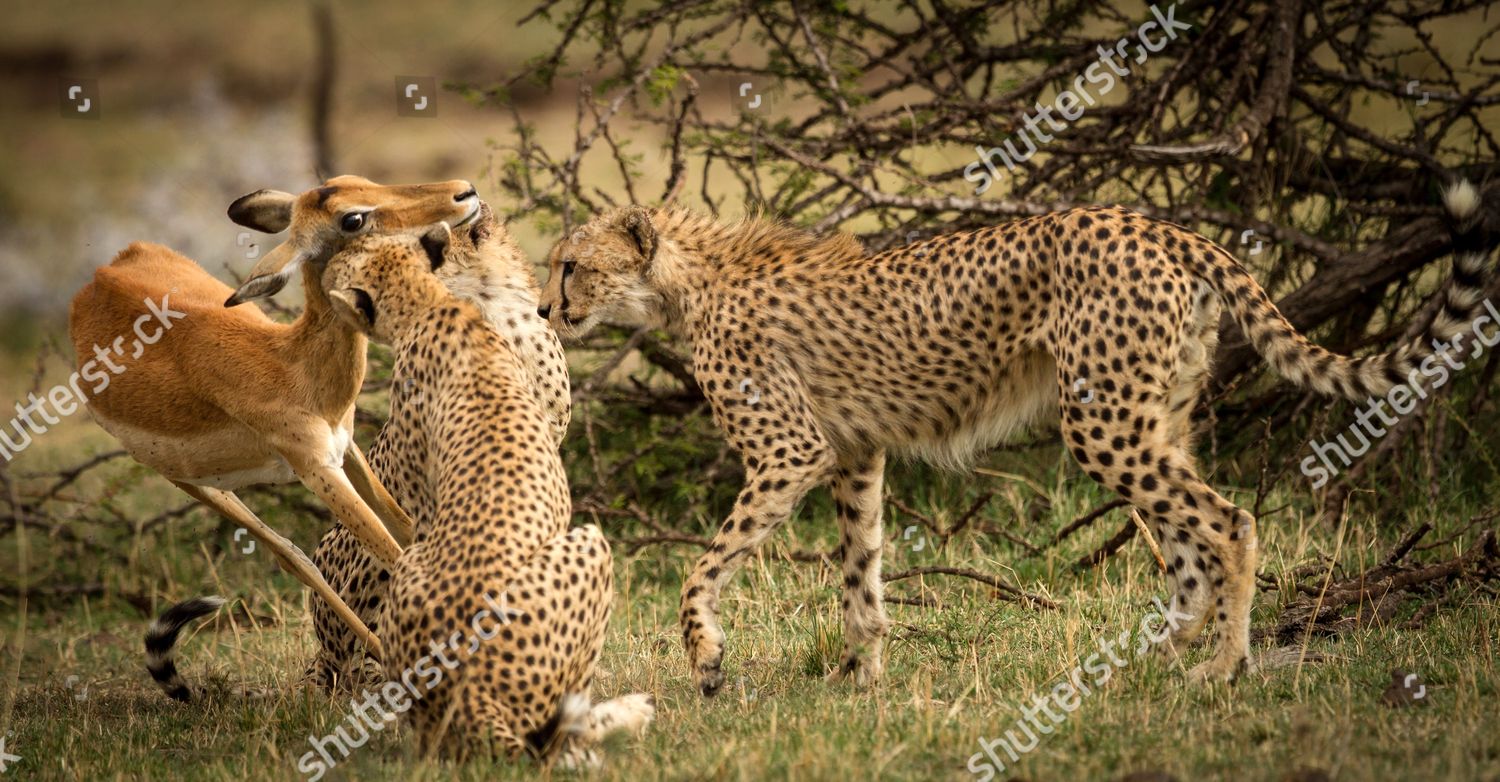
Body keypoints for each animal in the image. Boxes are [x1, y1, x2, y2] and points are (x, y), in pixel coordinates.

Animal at [70, 176, 482, 665]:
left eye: (358, 181)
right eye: (352, 219)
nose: (464, 192)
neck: (291, 367)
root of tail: (93, 283)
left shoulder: (347, 447)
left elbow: (404, 526)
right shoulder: (316, 469)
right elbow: (390, 551)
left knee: (296, 554)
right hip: (191, 482)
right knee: (291, 555)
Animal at [536, 180, 1490, 695]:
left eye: (571, 265)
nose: (545, 310)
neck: (684, 280)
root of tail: (1160, 225)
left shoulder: (791, 452)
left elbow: (702, 567)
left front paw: (706, 658)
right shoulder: (855, 453)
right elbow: (861, 573)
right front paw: (861, 677)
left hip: (1102, 420)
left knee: (1230, 522)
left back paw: (1222, 668)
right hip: (1149, 417)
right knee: (1184, 547)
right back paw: (1152, 662)